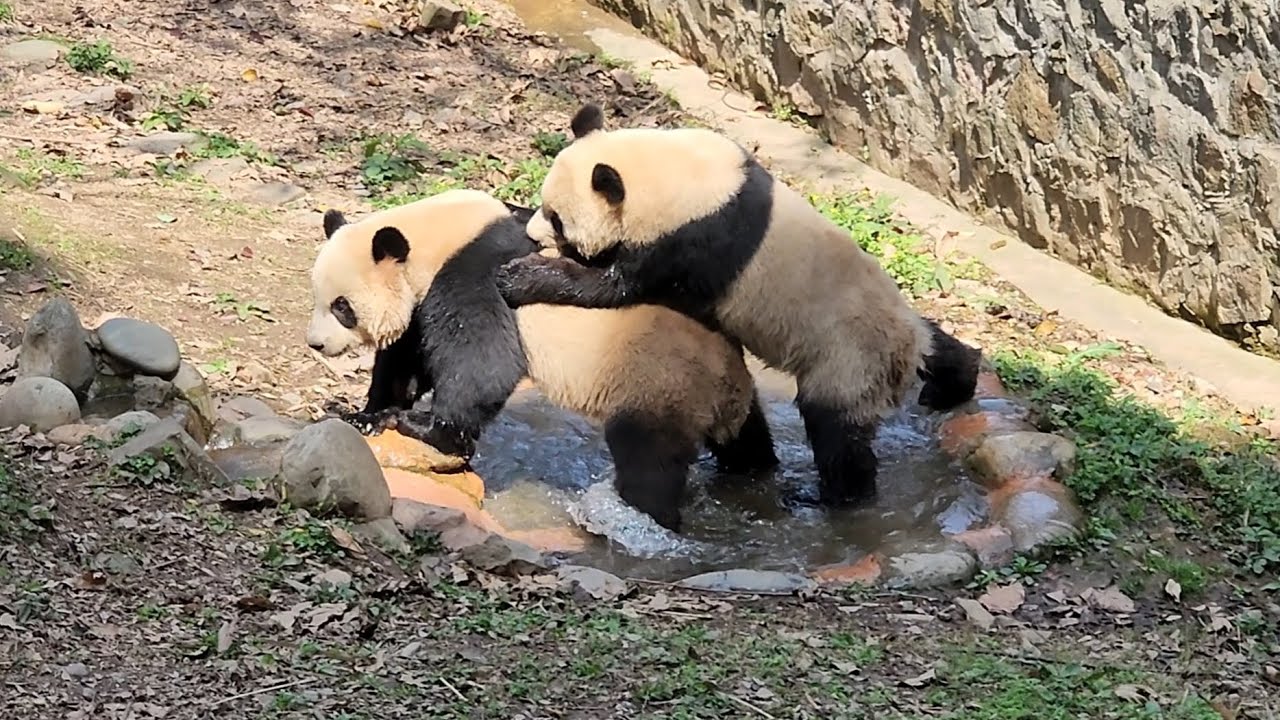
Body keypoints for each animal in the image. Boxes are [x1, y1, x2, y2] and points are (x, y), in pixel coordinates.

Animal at [305, 188, 779, 531]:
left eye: (342, 306)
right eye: (319, 298)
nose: (316, 344)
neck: (437, 235)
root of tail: (724, 387)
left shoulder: (471, 275)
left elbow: (485, 362)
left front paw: (429, 429)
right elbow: (406, 360)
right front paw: (366, 415)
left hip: (659, 383)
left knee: (648, 461)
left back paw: (642, 517)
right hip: (720, 395)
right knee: (746, 441)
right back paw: (756, 470)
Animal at [495, 103, 982, 508]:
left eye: (559, 221)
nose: (537, 234)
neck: (680, 178)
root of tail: (901, 359)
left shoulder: (690, 244)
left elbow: (615, 286)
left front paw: (522, 275)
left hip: (848, 358)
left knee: (836, 432)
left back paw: (832, 498)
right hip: (900, 325)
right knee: (939, 345)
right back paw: (951, 385)